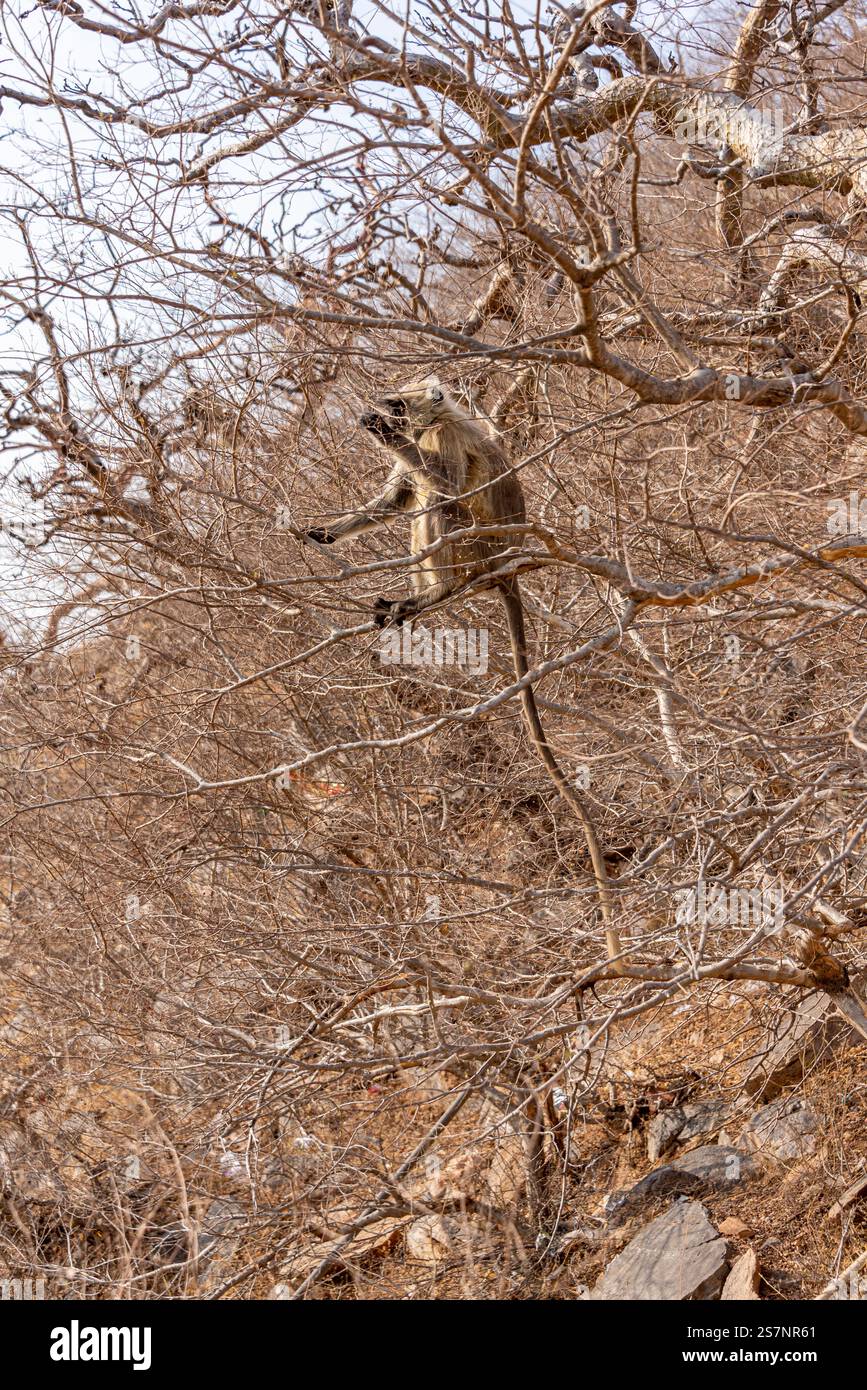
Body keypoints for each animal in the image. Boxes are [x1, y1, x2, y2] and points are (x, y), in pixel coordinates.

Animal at [306, 377, 622, 967]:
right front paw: (326, 533)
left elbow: (440, 487)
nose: (388, 415)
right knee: (423, 503)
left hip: (476, 548)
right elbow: (397, 500)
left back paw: (434, 594)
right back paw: (415, 603)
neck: (439, 419)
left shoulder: (441, 435)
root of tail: (508, 564)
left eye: (398, 405)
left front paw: (383, 436)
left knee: (441, 504)